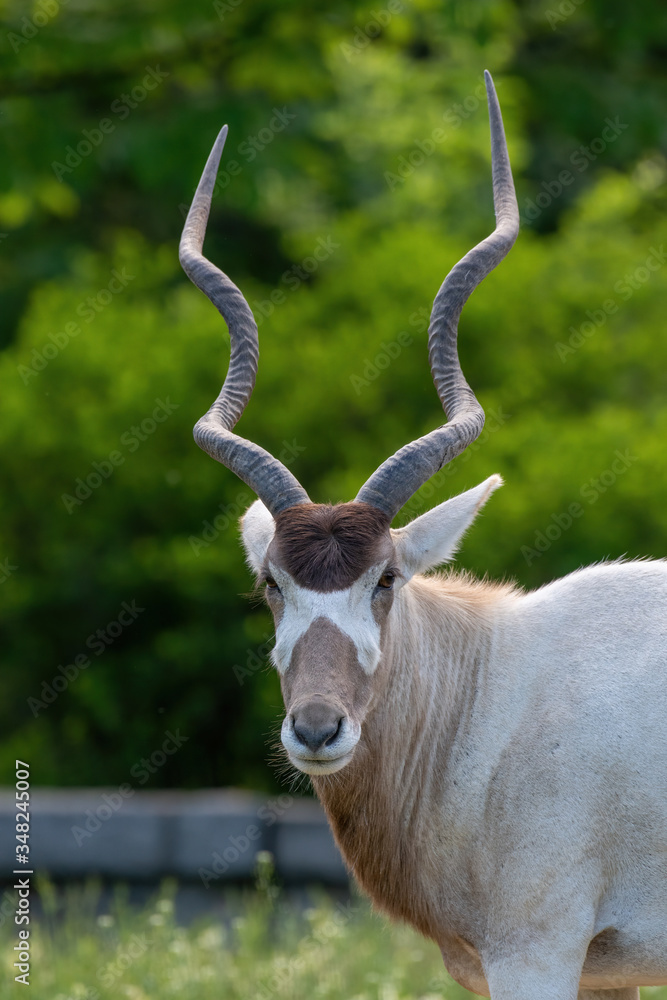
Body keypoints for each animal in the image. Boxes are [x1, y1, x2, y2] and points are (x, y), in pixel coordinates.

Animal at [179, 72, 667, 1000]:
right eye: (271, 584)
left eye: (383, 580)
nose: (317, 729)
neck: (490, 692)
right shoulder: (599, 972)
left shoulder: (536, 950)